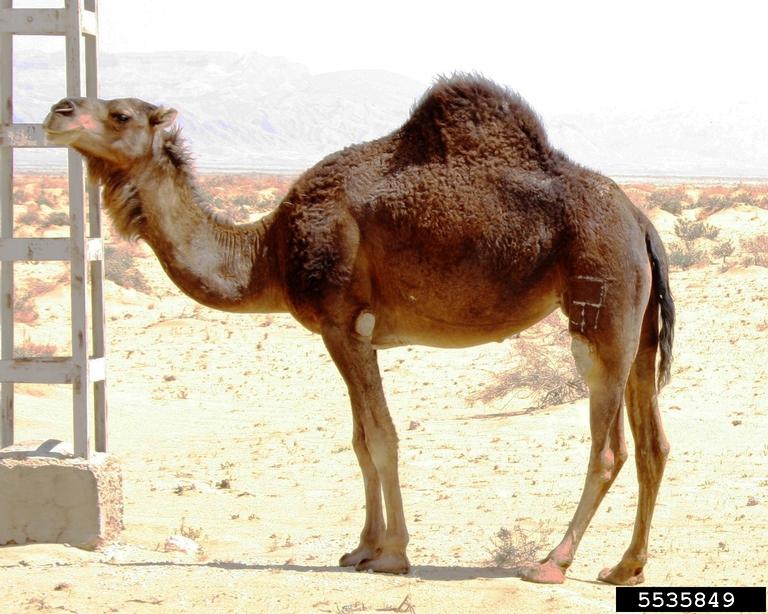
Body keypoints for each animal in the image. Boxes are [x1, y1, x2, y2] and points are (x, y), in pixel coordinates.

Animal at [43, 75, 674, 585]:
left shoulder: (343, 323)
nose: (57, 110)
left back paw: (551, 563)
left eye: (120, 114)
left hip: (600, 311)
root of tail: (641, 221)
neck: (268, 251)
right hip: (638, 327)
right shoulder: (347, 333)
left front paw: (392, 553)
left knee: (610, 447)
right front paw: (361, 548)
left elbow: (381, 438)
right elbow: (359, 441)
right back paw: (625, 566)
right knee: (654, 444)